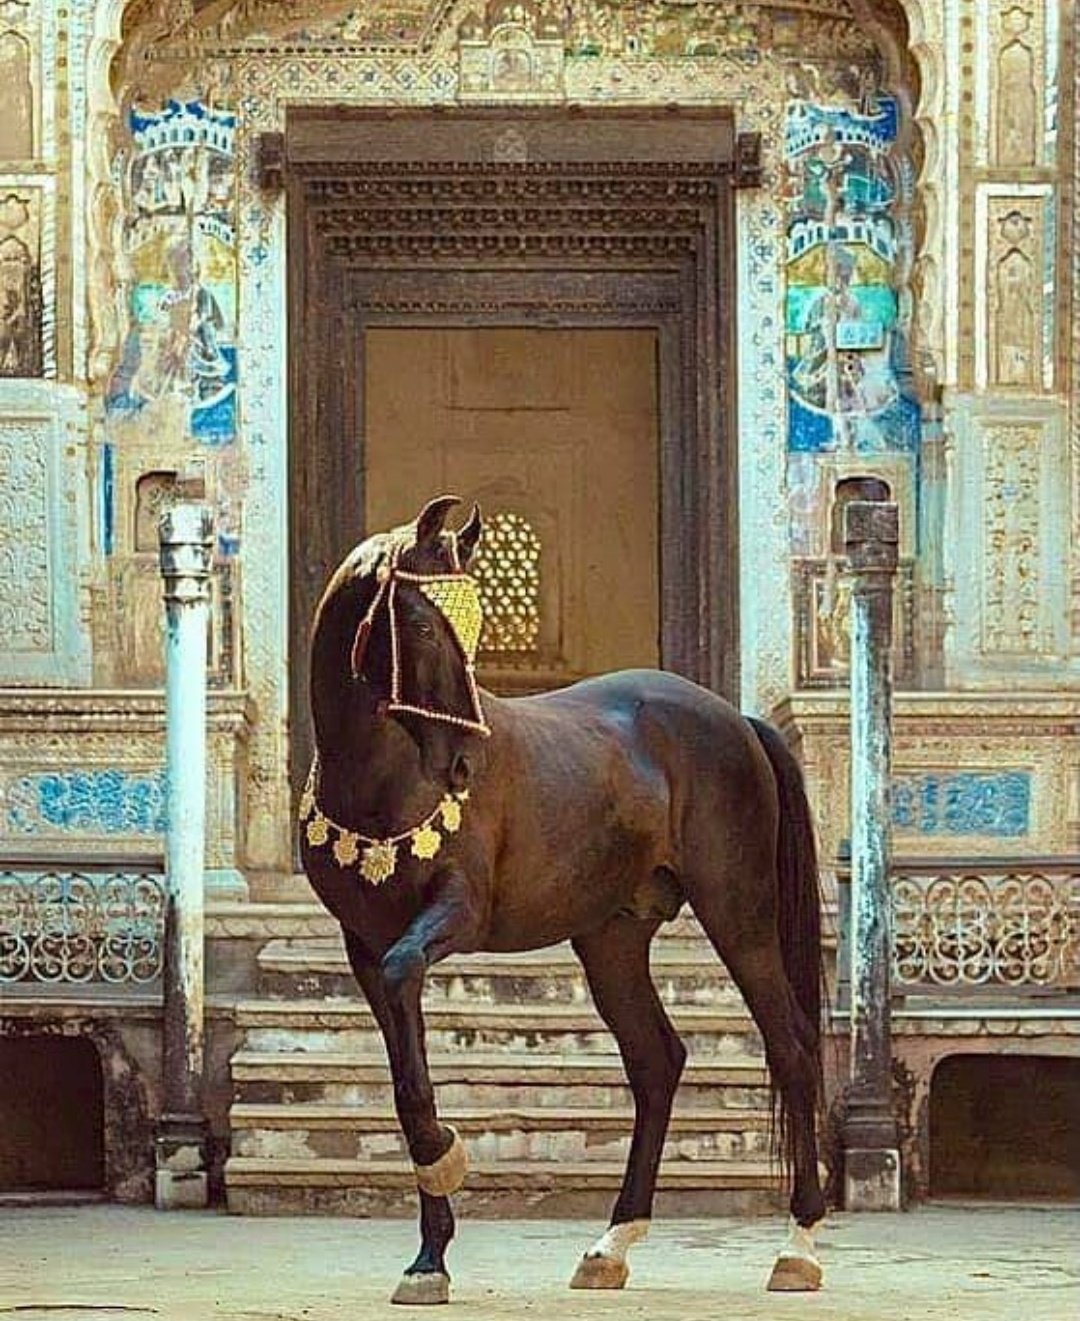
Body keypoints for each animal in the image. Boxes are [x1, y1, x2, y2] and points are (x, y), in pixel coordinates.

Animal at [300, 494, 827, 1305]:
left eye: (476, 624)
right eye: (418, 624)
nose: (464, 763)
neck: (381, 775)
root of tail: (738, 719)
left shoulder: (452, 917)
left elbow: (406, 990)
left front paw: (446, 1162)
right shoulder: (362, 944)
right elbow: (404, 1077)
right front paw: (429, 1255)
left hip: (740, 913)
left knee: (791, 1044)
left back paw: (797, 1246)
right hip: (612, 935)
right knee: (656, 1059)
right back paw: (611, 1244)